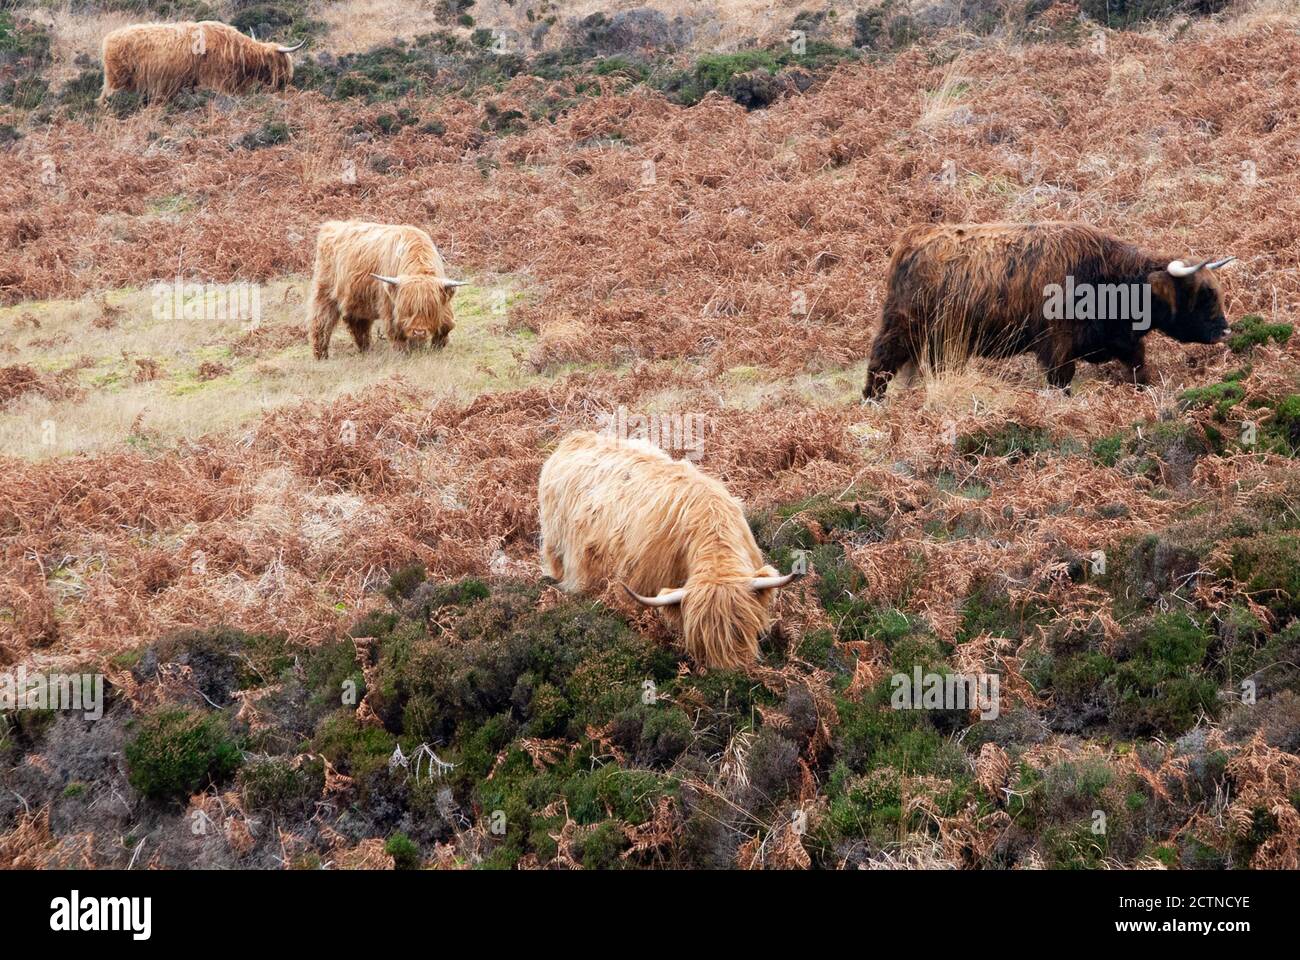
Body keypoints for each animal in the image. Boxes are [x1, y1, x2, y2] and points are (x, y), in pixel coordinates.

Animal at [307, 220, 467, 360]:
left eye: (431, 309)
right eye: (407, 309)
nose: (419, 331)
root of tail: (332, 225)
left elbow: (446, 326)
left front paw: (436, 347)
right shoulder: (390, 307)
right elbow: (397, 333)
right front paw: (403, 354)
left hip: (356, 300)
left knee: (359, 325)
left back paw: (366, 350)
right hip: (324, 293)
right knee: (321, 322)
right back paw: (321, 355)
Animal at [862, 222, 1235, 399]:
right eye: (1201, 294)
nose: (1224, 330)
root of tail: (915, 238)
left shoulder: (1121, 341)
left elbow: (1140, 367)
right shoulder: (1057, 345)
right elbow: (1061, 382)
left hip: (942, 342)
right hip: (902, 327)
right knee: (880, 365)